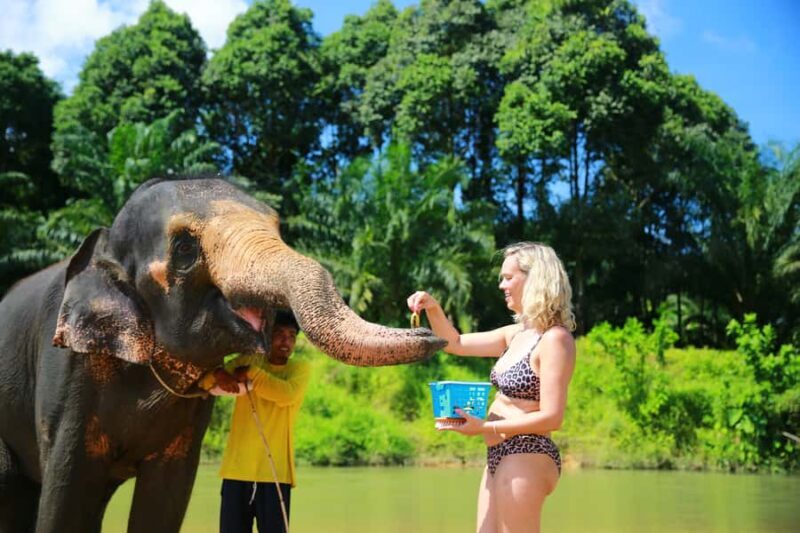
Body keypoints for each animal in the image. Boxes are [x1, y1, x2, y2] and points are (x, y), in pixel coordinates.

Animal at [0, 177, 444, 532]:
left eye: (277, 226)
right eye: (184, 246)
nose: (425, 321)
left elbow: (165, 499)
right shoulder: (67, 377)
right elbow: (67, 498)